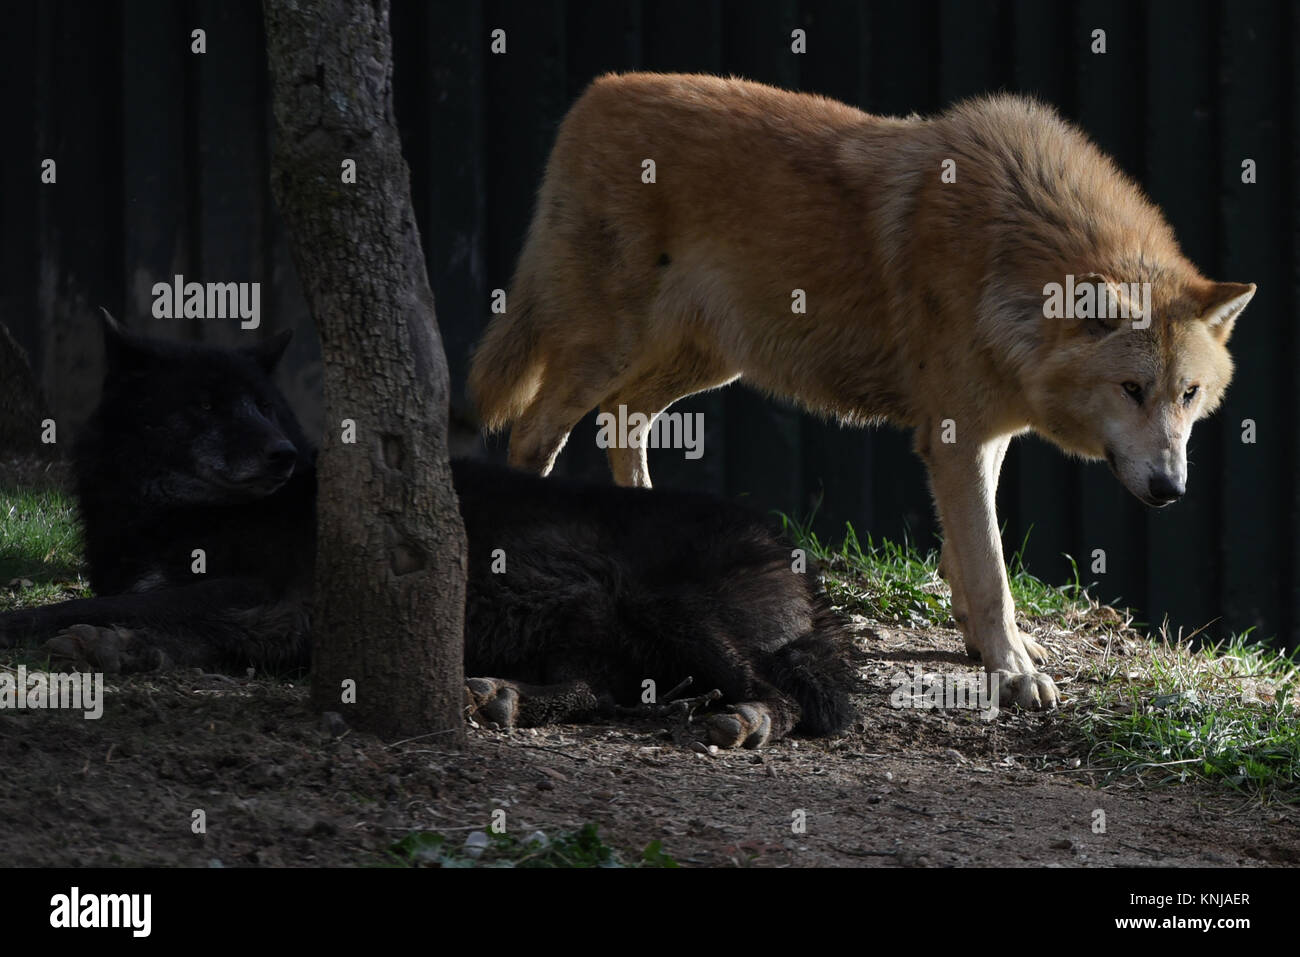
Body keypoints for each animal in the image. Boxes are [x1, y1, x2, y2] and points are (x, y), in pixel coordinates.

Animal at [0, 316, 855, 748]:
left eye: (265, 407)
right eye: (206, 407)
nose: (282, 454)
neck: (174, 510)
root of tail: (793, 553)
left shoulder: (265, 592)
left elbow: (98, 605)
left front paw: (65, 631)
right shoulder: (272, 613)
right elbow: (169, 627)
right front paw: (115, 649)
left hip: (668, 607)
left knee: (798, 702)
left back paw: (746, 719)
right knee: (599, 690)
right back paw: (499, 696)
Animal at [467, 73, 1256, 710]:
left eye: (1188, 394)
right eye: (1131, 388)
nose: (1170, 489)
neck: (1014, 246)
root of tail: (593, 97)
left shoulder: (983, 434)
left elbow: (968, 556)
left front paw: (986, 644)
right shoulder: (956, 438)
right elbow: (992, 565)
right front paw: (1012, 671)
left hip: (701, 362)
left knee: (621, 421)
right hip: (610, 347)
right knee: (535, 431)